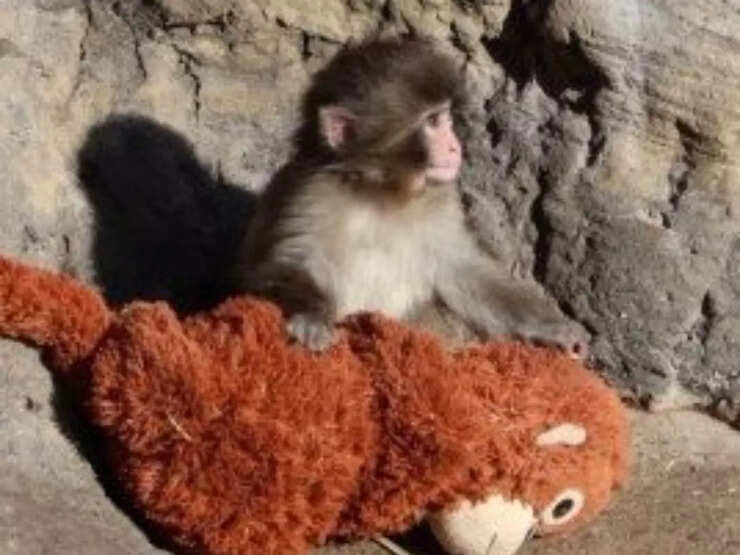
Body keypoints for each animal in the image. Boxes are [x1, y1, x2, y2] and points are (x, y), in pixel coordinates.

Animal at [233, 37, 589, 356]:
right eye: (432, 122)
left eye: (445, 118)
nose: (454, 146)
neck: (381, 192)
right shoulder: (310, 194)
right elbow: (280, 264)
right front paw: (312, 316)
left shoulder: (441, 202)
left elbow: (465, 272)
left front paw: (554, 329)